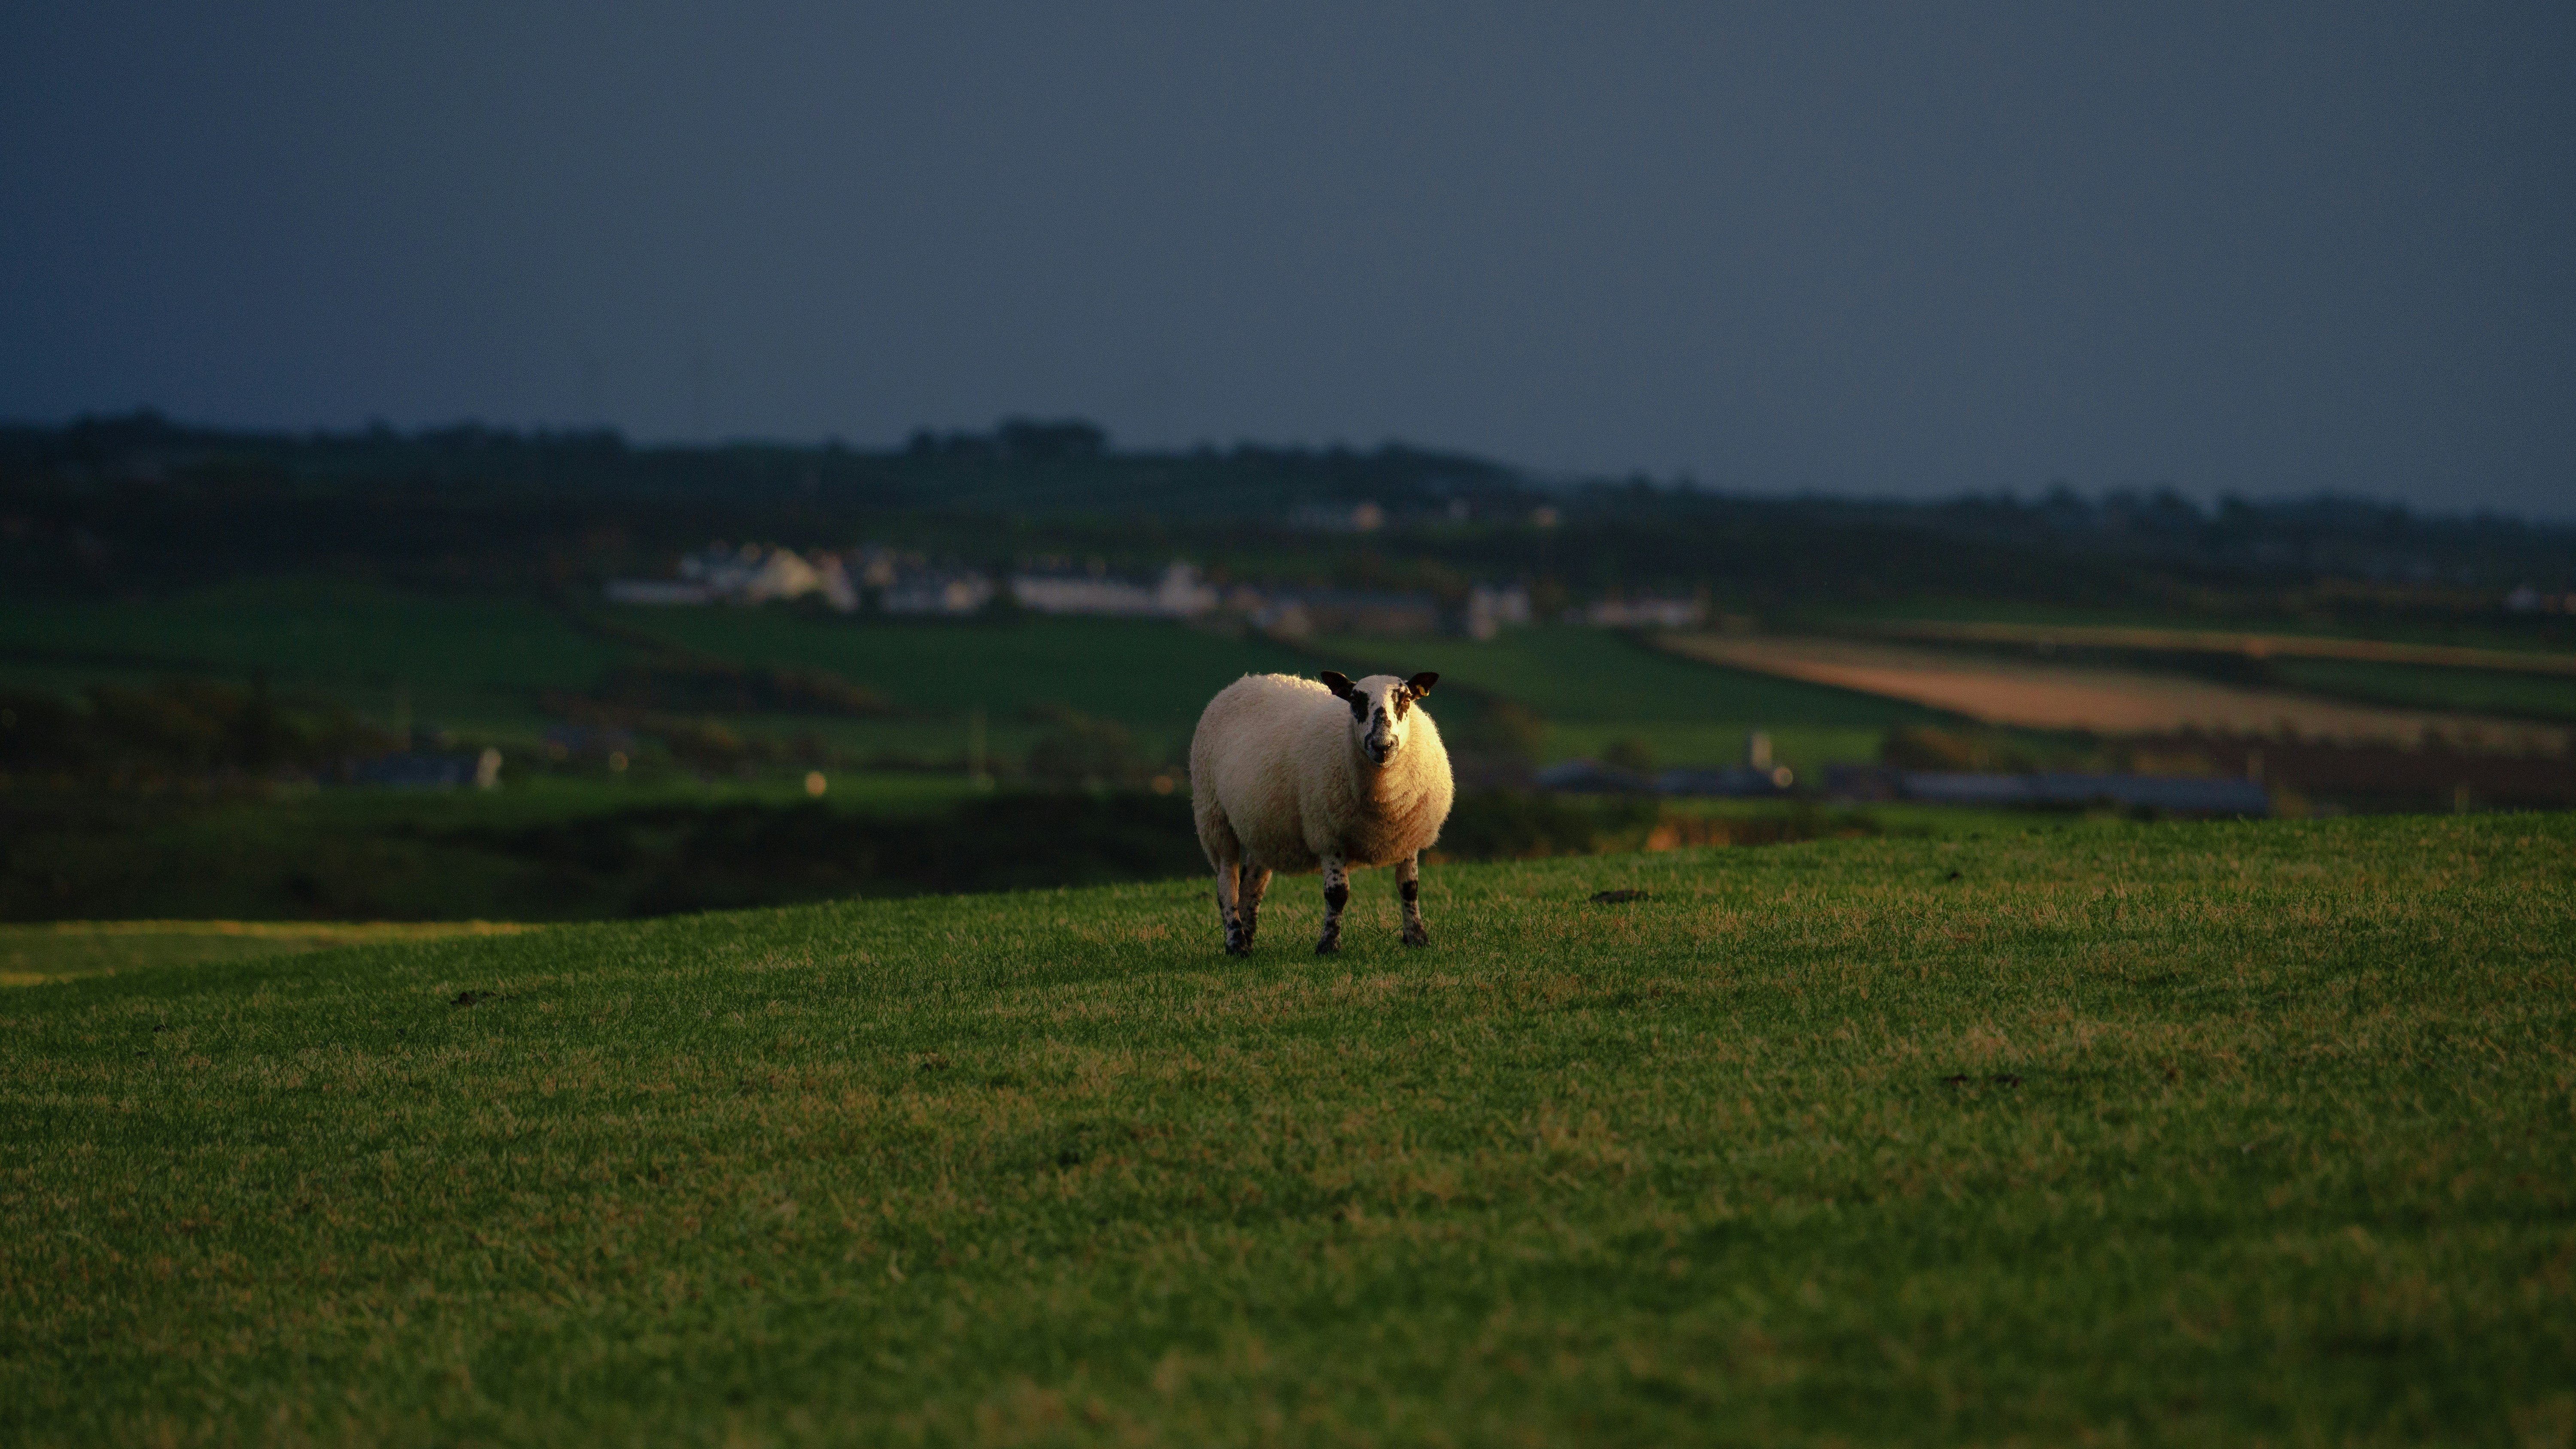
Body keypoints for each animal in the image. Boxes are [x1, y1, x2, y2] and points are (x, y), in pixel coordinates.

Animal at [1189, 669, 1452, 955]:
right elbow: (1337, 894)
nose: (1382, 746)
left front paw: (1417, 938)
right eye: (1355, 701)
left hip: (1265, 831)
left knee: (1251, 887)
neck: (1384, 798)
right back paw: (1236, 943)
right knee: (1227, 885)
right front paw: (1328, 945)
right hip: (1213, 816)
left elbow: (1409, 889)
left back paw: (1247, 942)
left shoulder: (1409, 836)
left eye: (1405, 700)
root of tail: (1245, 681)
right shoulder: (1328, 836)